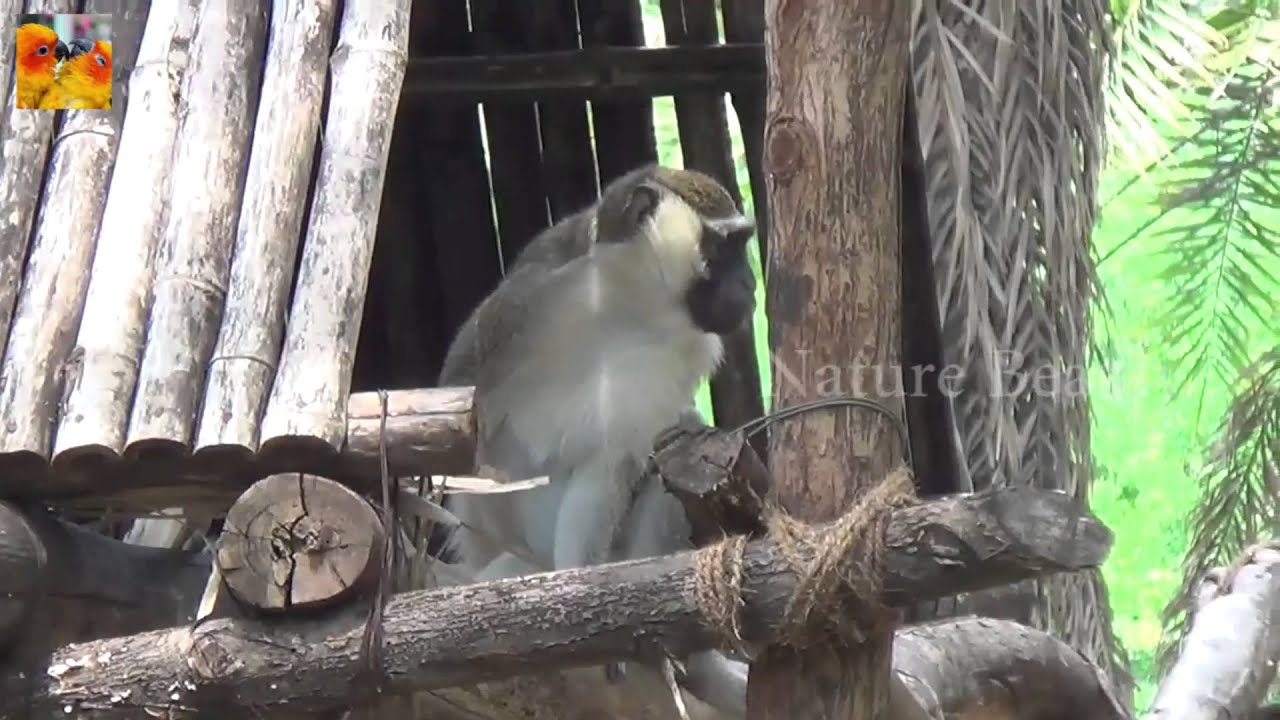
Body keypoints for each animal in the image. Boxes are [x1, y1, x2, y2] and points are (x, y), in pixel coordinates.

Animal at [437, 164, 757, 716]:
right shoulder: (520, 305)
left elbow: (616, 460)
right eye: (724, 247)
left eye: (742, 245)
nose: (749, 282)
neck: (628, 305)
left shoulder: (692, 347)